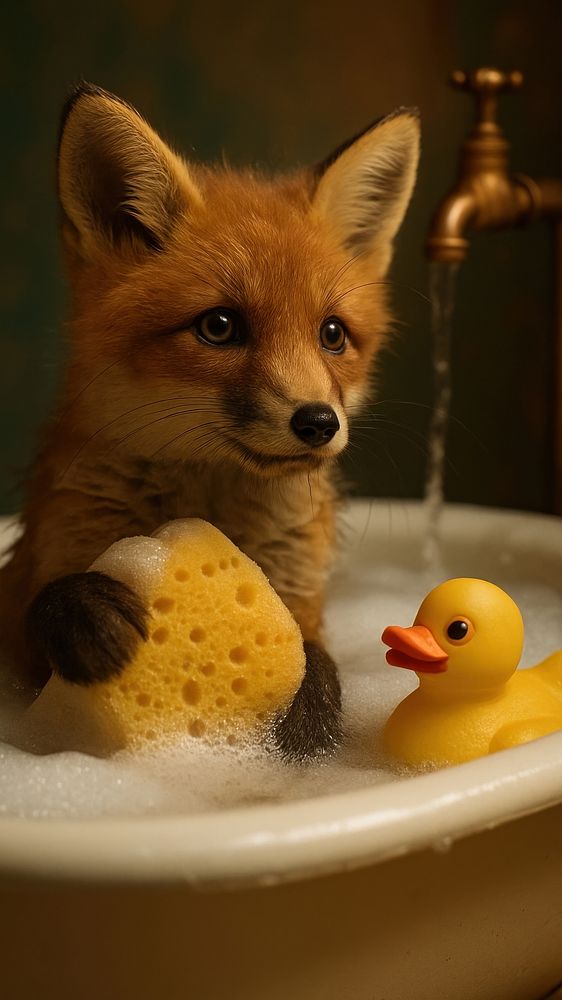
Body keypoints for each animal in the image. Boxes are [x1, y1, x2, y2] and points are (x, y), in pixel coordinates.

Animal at [0, 83, 420, 759]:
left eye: (332, 334)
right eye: (219, 327)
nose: (318, 422)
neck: (210, 505)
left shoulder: (300, 597)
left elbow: (313, 653)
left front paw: (307, 715)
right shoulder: (38, 573)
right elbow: (39, 611)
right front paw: (84, 613)